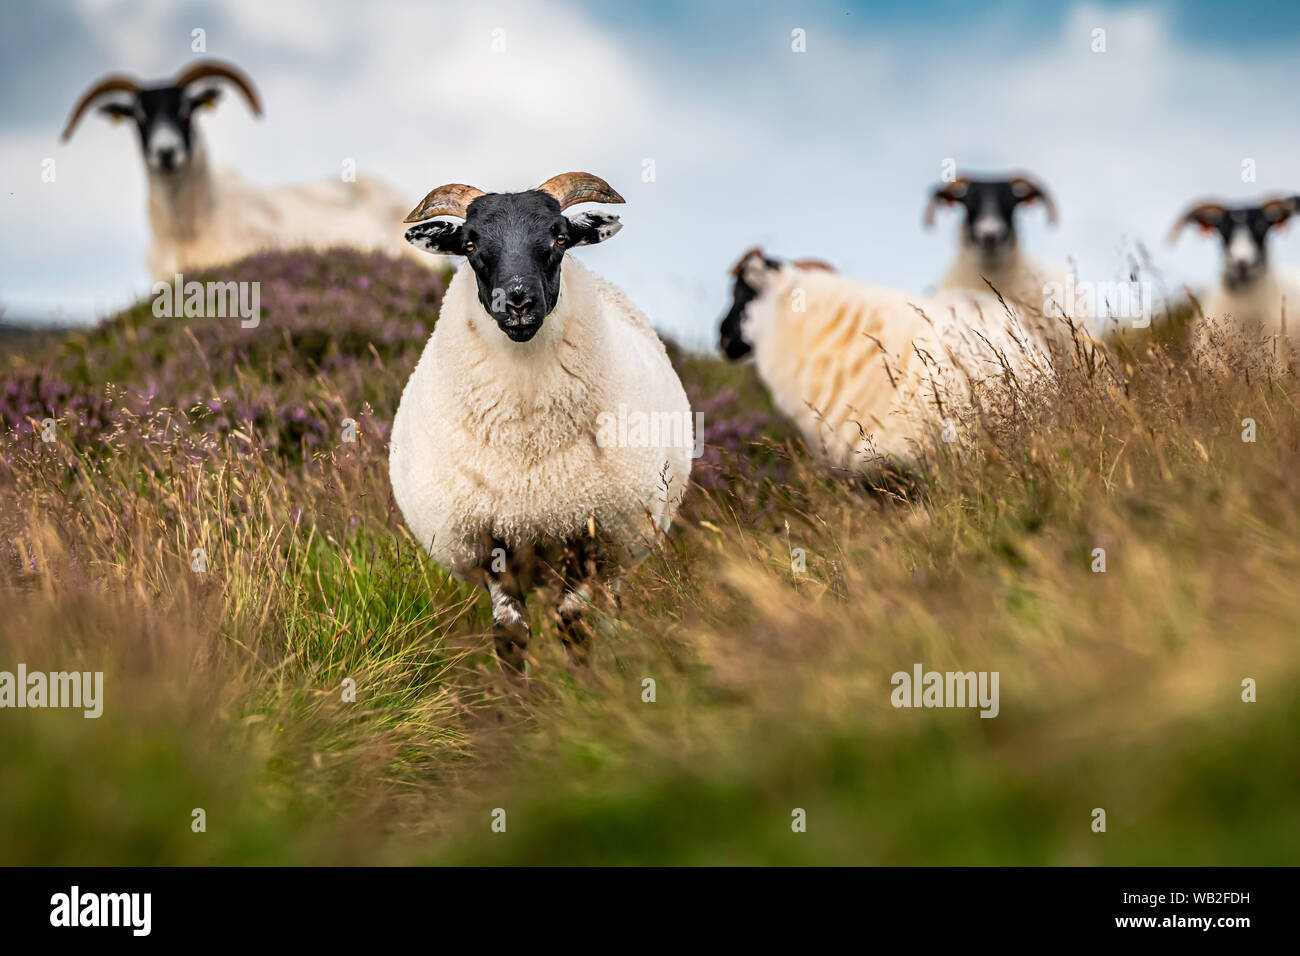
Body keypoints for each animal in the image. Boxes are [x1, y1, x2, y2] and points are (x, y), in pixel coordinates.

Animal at [389, 172, 693, 672]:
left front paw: (583, 687)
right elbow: (511, 633)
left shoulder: (588, 528)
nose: (517, 302)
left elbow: (575, 622)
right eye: (470, 244)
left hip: (620, 545)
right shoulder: (489, 534)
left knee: (608, 610)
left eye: (560, 238)